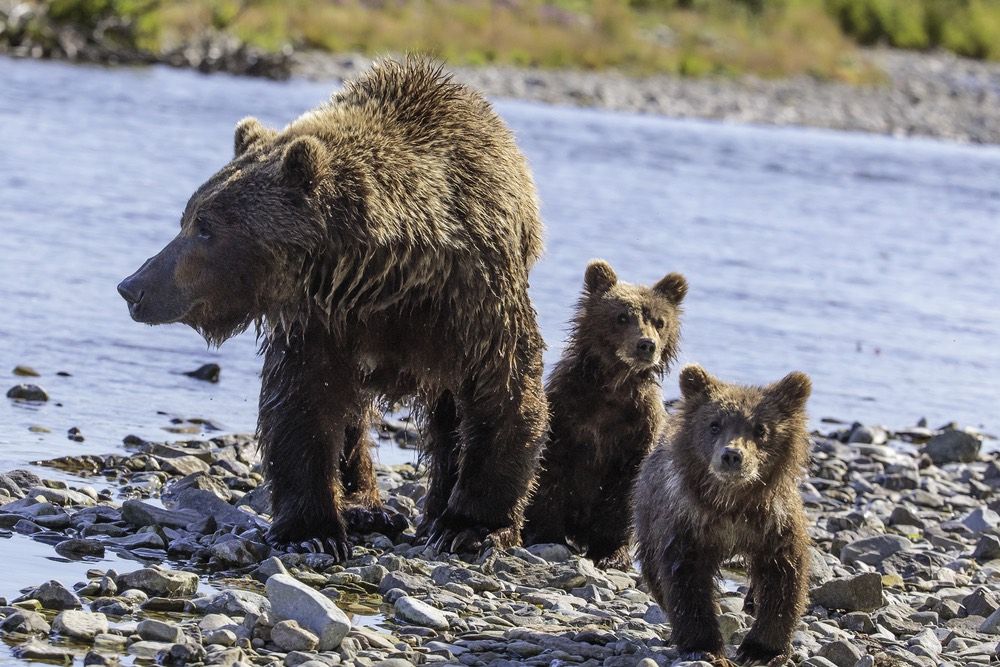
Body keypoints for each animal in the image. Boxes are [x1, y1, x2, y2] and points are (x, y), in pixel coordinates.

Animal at [117, 58, 549, 560]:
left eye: (206, 227)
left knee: (448, 419)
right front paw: (313, 529)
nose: (133, 287)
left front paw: (471, 526)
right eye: (186, 218)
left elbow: (504, 391)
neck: (384, 279)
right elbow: (304, 405)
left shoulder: (473, 302)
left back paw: (433, 513)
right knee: (353, 419)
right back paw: (365, 508)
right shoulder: (320, 322)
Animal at [522, 259, 687, 570]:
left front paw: (612, 553)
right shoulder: (569, 416)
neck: (613, 387)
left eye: (660, 321)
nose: (646, 345)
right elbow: (551, 474)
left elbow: (623, 494)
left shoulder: (637, 428)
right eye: (622, 317)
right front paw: (546, 534)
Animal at [633, 364, 812, 666]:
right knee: (653, 570)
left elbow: (784, 577)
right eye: (714, 424)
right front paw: (705, 646)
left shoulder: (774, 523)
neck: (732, 505)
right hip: (647, 513)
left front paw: (760, 650)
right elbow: (686, 580)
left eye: (761, 429)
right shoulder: (687, 522)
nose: (732, 456)